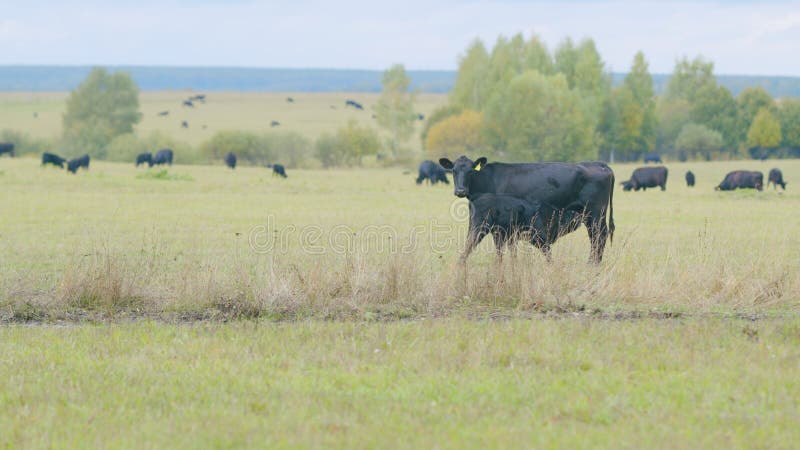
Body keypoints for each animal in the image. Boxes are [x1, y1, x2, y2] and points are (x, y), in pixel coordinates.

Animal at [439, 155, 615, 264]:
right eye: (453, 170)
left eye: (470, 171)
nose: (460, 191)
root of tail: (600, 164)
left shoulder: (501, 224)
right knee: (596, 237)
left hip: (595, 213)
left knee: (599, 236)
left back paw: (592, 264)